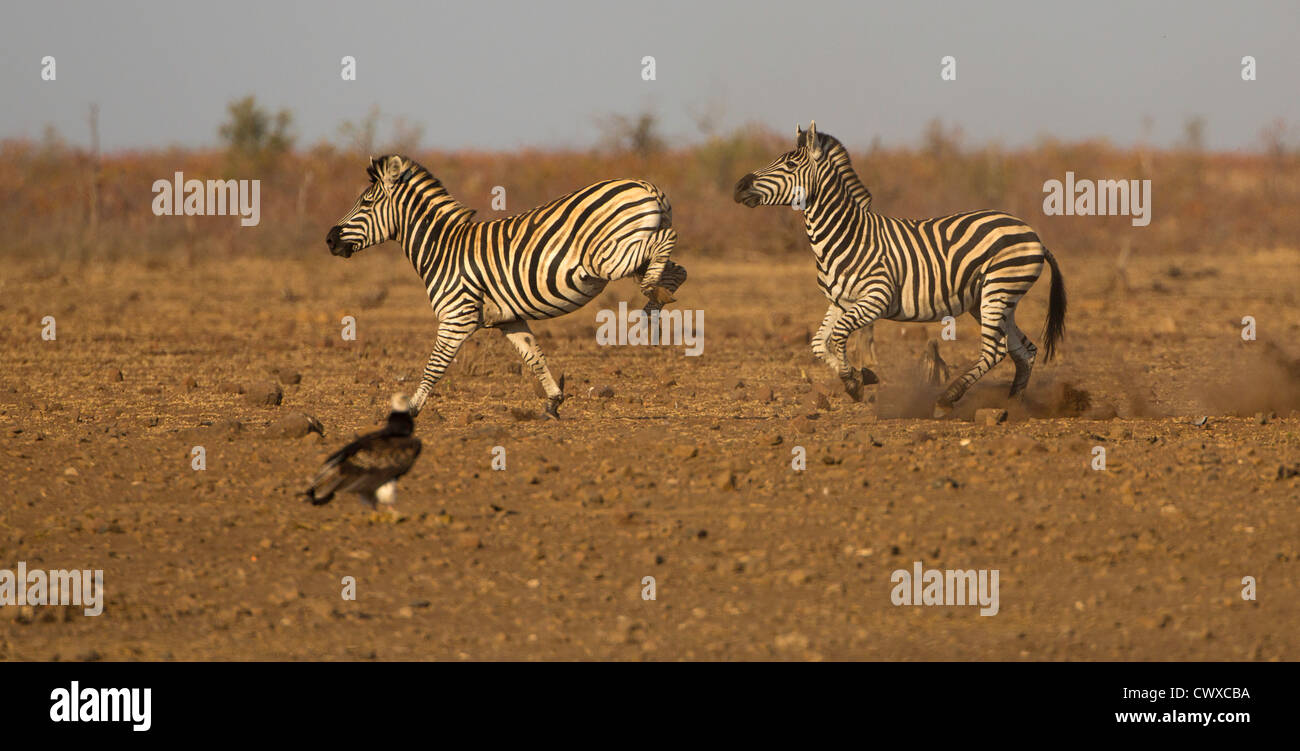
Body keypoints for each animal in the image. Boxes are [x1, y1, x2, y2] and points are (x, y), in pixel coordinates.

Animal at [326, 155, 687, 419]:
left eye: (366, 203)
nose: (329, 239)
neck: (441, 248)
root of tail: (647, 186)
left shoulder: (456, 318)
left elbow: (434, 366)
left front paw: (410, 409)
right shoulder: (509, 319)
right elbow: (534, 357)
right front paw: (553, 401)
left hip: (610, 256)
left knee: (666, 240)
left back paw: (651, 297)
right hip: (627, 257)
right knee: (676, 272)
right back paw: (654, 305)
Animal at [734, 122, 1066, 417]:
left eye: (790, 164)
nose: (738, 187)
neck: (847, 235)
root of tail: (1033, 233)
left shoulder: (876, 298)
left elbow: (839, 336)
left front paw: (853, 382)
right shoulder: (839, 302)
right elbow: (818, 344)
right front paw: (862, 375)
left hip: (998, 289)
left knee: (995, 350)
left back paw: (947, 399)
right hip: (992, 299)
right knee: (1024, 351)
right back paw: (1013, 406)